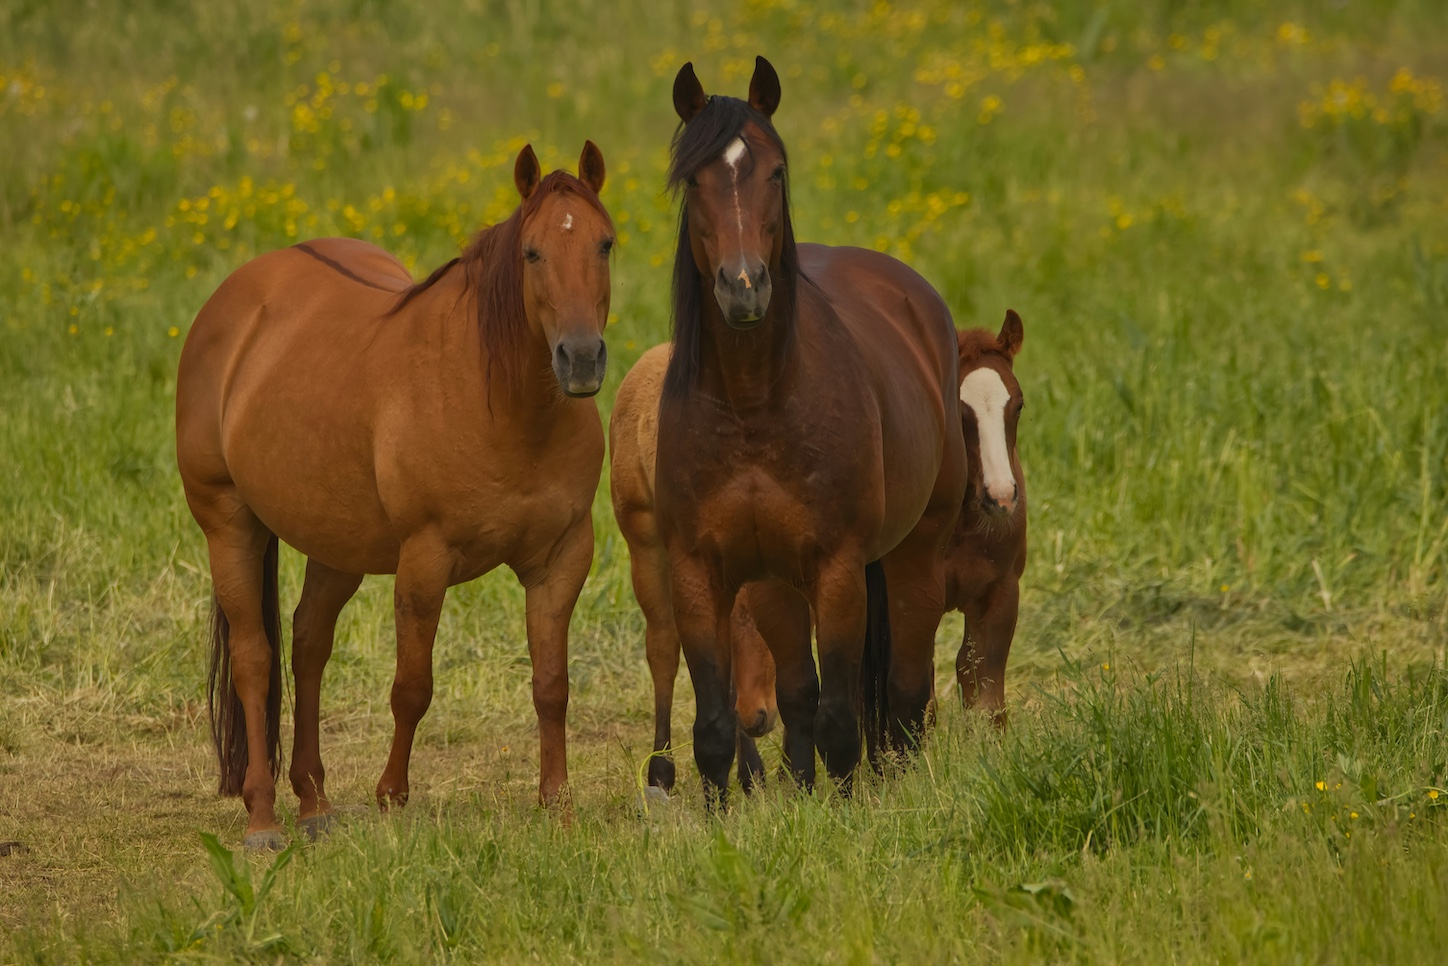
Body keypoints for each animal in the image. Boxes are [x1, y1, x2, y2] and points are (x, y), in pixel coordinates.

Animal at [176, 143, 614, 849]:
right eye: (532, 253)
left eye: (605, 244)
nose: (580, 360)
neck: (502, 403)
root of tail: (233, 303)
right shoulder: (425, 561)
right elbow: (412, 687)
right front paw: (391, 798)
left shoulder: (561, 560)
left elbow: (552, 685)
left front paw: (558, 807)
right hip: (229, 525)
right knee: (255, 659)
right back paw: (264, 819)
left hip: (336, 547)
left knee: (308, 646)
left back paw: (315, 803)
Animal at [654, 57, 967, 806]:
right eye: (695, 180)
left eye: (775, 171)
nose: (744, 288)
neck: (752, 404)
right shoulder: (698, 574)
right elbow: (717, 727)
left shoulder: (839, 570)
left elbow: (842, 718)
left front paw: (849, 811)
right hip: (776, 584)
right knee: (798, 693)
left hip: (914, 552)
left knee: (903, 692)